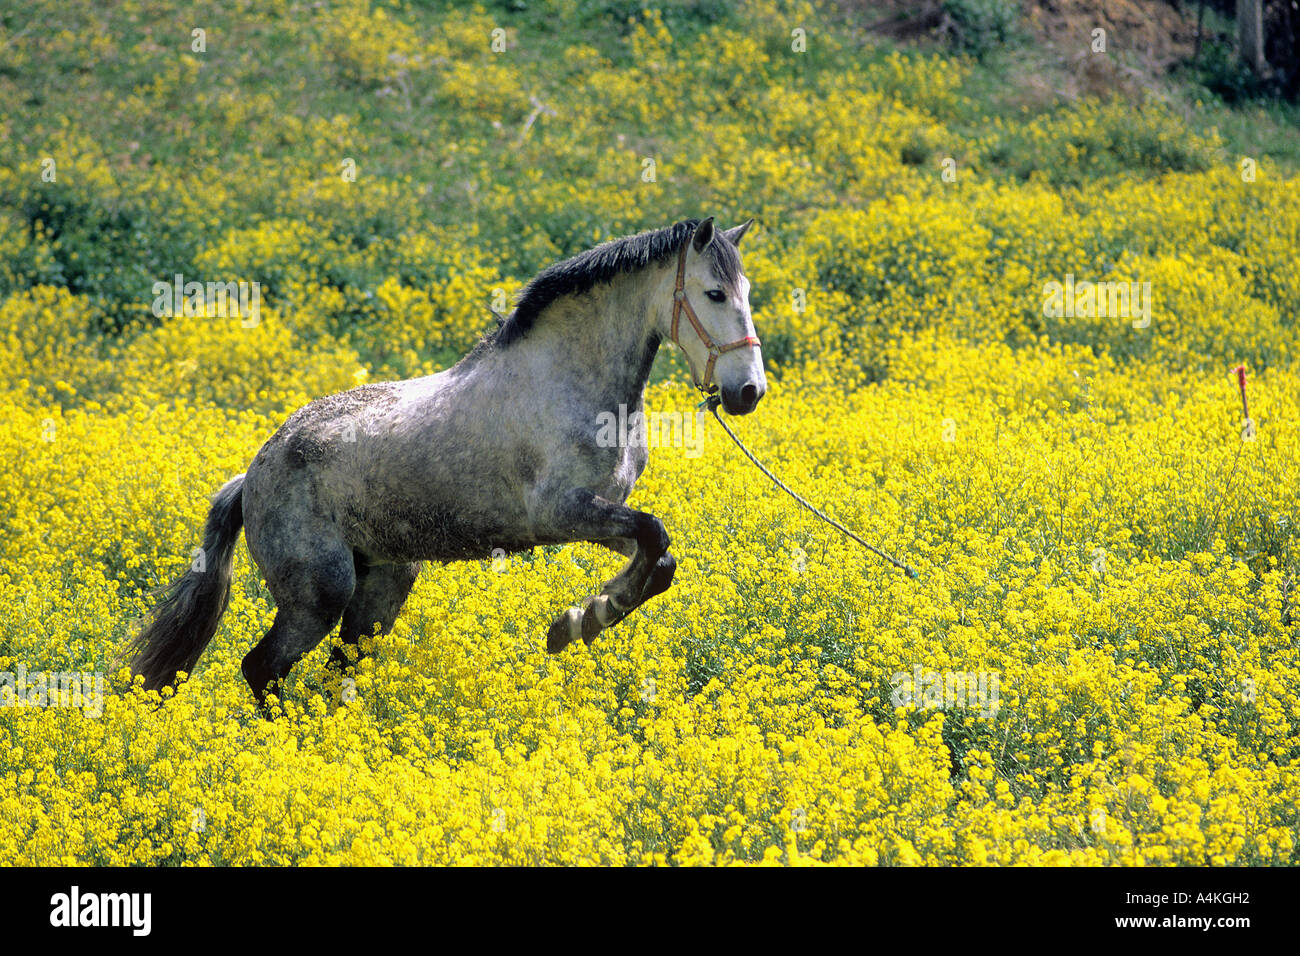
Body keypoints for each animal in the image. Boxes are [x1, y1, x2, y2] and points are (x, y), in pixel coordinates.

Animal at [125, 217, 766, 709]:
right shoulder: (560, 513)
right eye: (714, 294)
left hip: (381, 586)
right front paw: (575, 624)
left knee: (337, 669)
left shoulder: (600, 514)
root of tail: (253, 475)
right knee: (261, 669)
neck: (568, 381)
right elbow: (655, 536)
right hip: (319, 592)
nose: (748, 392)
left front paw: (583, 618)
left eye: (747, 293)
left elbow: (660, 558)